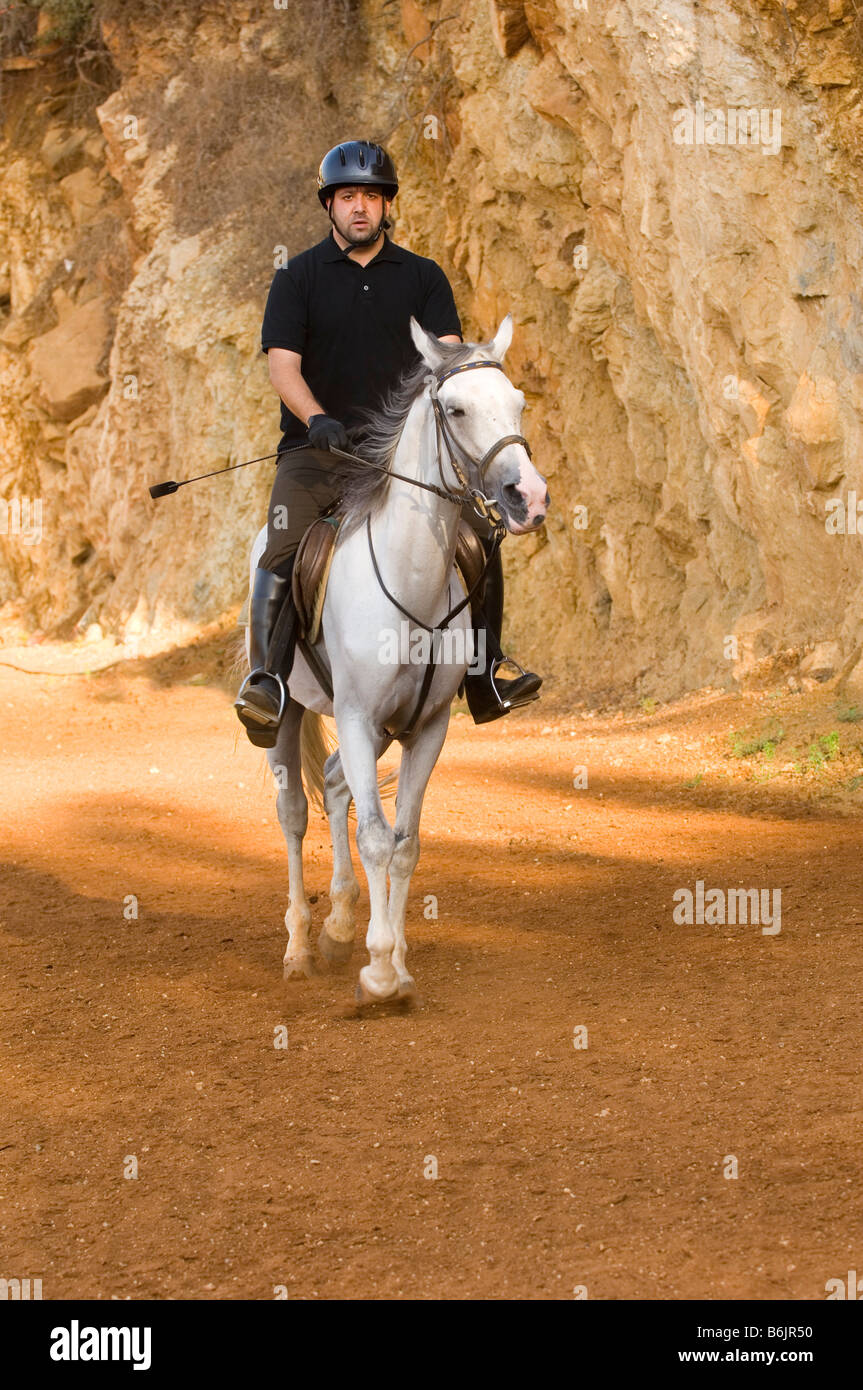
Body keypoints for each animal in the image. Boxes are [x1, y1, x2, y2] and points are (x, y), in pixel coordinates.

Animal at [244, 314, 550, 1004]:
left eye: (518, 402)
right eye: (456, 409)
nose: (528, 498)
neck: (411, 577)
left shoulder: (425, 728)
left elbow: (404, 843)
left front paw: (397, 964)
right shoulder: (357, 718)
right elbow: (377, 839)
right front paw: (381, 972)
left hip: (380, 731)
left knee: (335, 784)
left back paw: (337, 924)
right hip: (293, 715)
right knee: (293, 815)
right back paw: (300, 947)